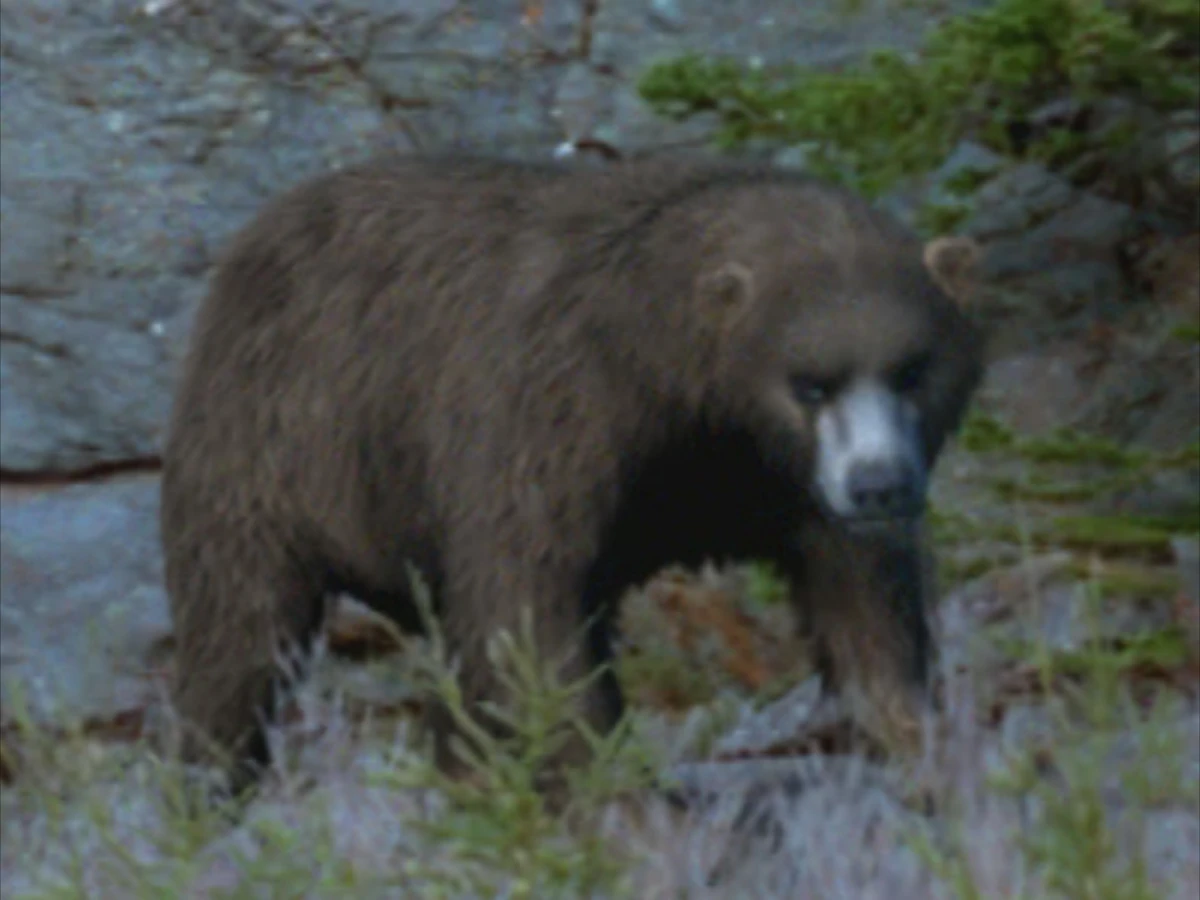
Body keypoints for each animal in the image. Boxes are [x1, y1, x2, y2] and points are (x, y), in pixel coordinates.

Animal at [159, 154, 985, 797]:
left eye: (913, 369)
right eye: (811, 383)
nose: (878, 484)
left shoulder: (788, 494)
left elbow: (869, 620)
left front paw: (927, 754)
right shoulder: (550, 423)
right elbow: (528, 616)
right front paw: (624, 805)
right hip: (275, 449)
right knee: (239, 630)